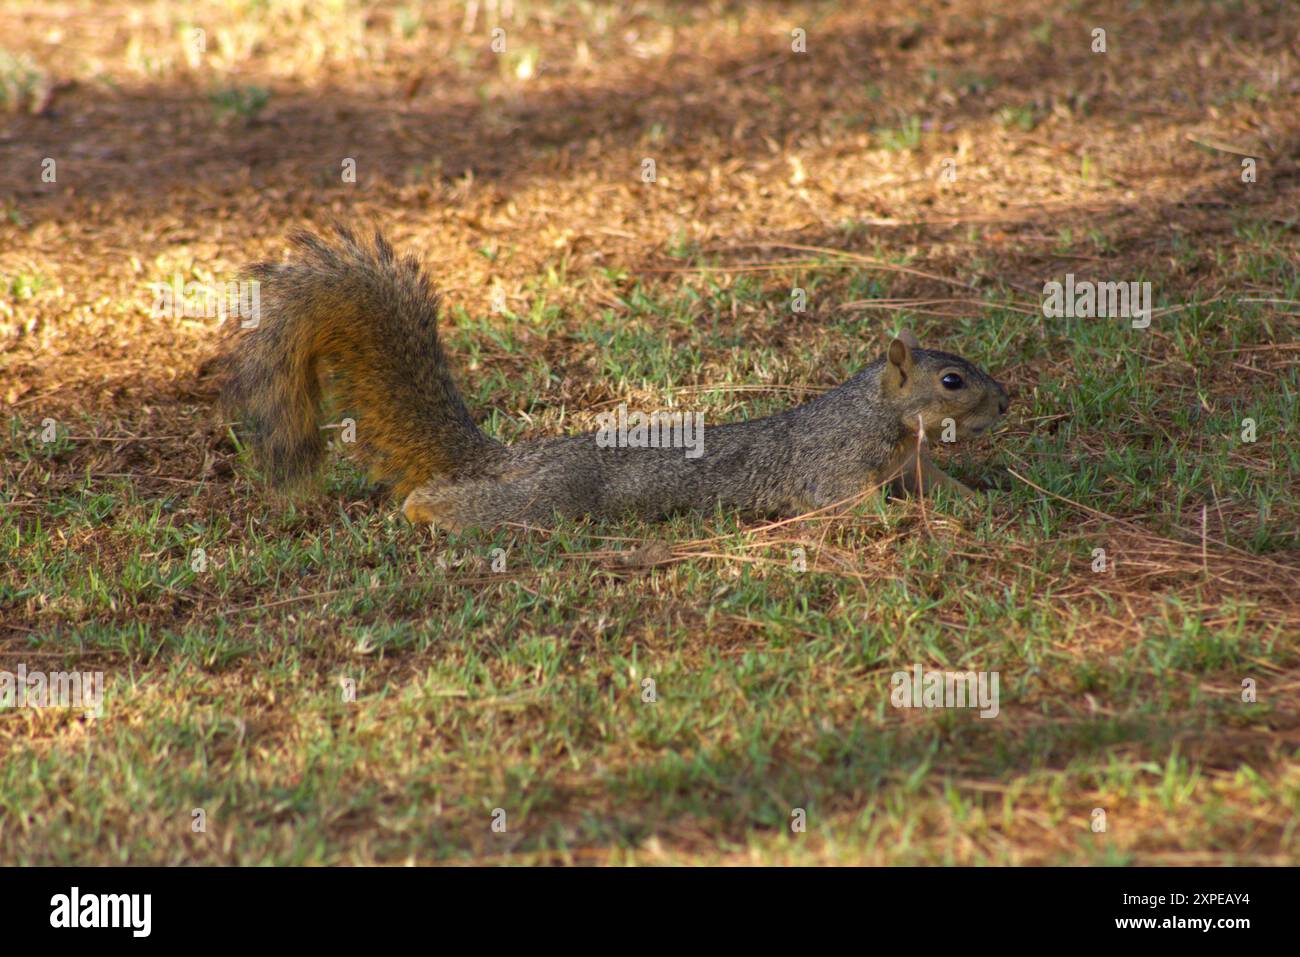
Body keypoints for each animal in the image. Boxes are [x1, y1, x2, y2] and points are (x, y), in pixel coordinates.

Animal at [221, 226, 1010, 532]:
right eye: (951, 381)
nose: (1004, 402)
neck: (879, 419)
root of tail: (511, 458)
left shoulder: (910, 462)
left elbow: (940, 484)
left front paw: (978, 505)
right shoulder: (833, 470)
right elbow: (851, 506)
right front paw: (912, 523)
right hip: (542, 502)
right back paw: (421, 510)